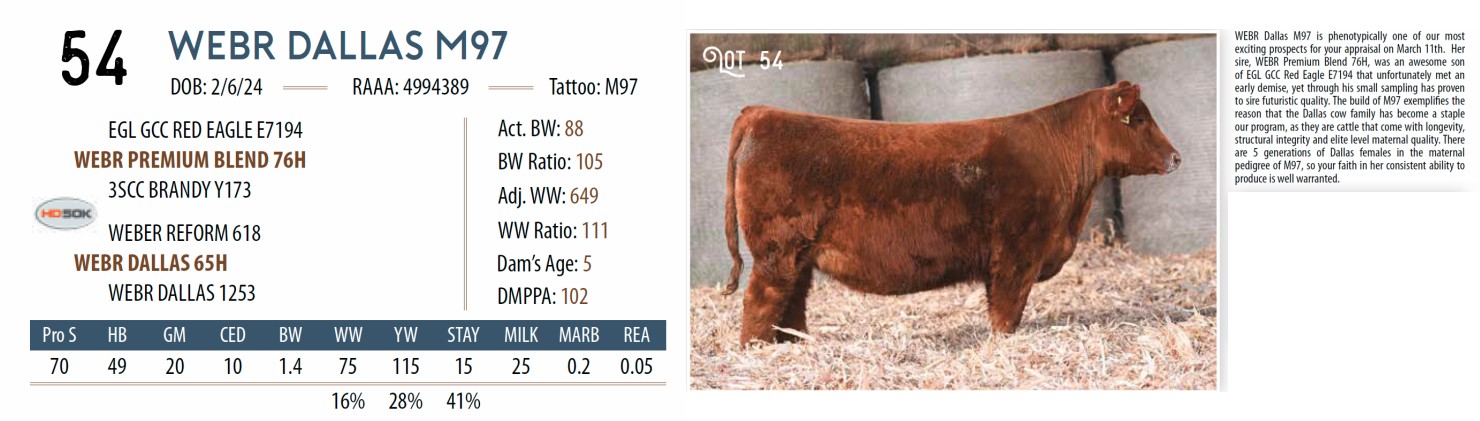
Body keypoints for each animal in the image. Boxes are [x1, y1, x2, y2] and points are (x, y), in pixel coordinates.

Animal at [720, 81, 1180, 345]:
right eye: (1138, 119)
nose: (1176, 157)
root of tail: (762, 113)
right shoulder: (1017, 253)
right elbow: (1007, 309)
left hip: (798, 256)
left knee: (791, 301)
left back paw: (793, 345)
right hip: (777, 251)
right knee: (761, 300)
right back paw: (756, 351)